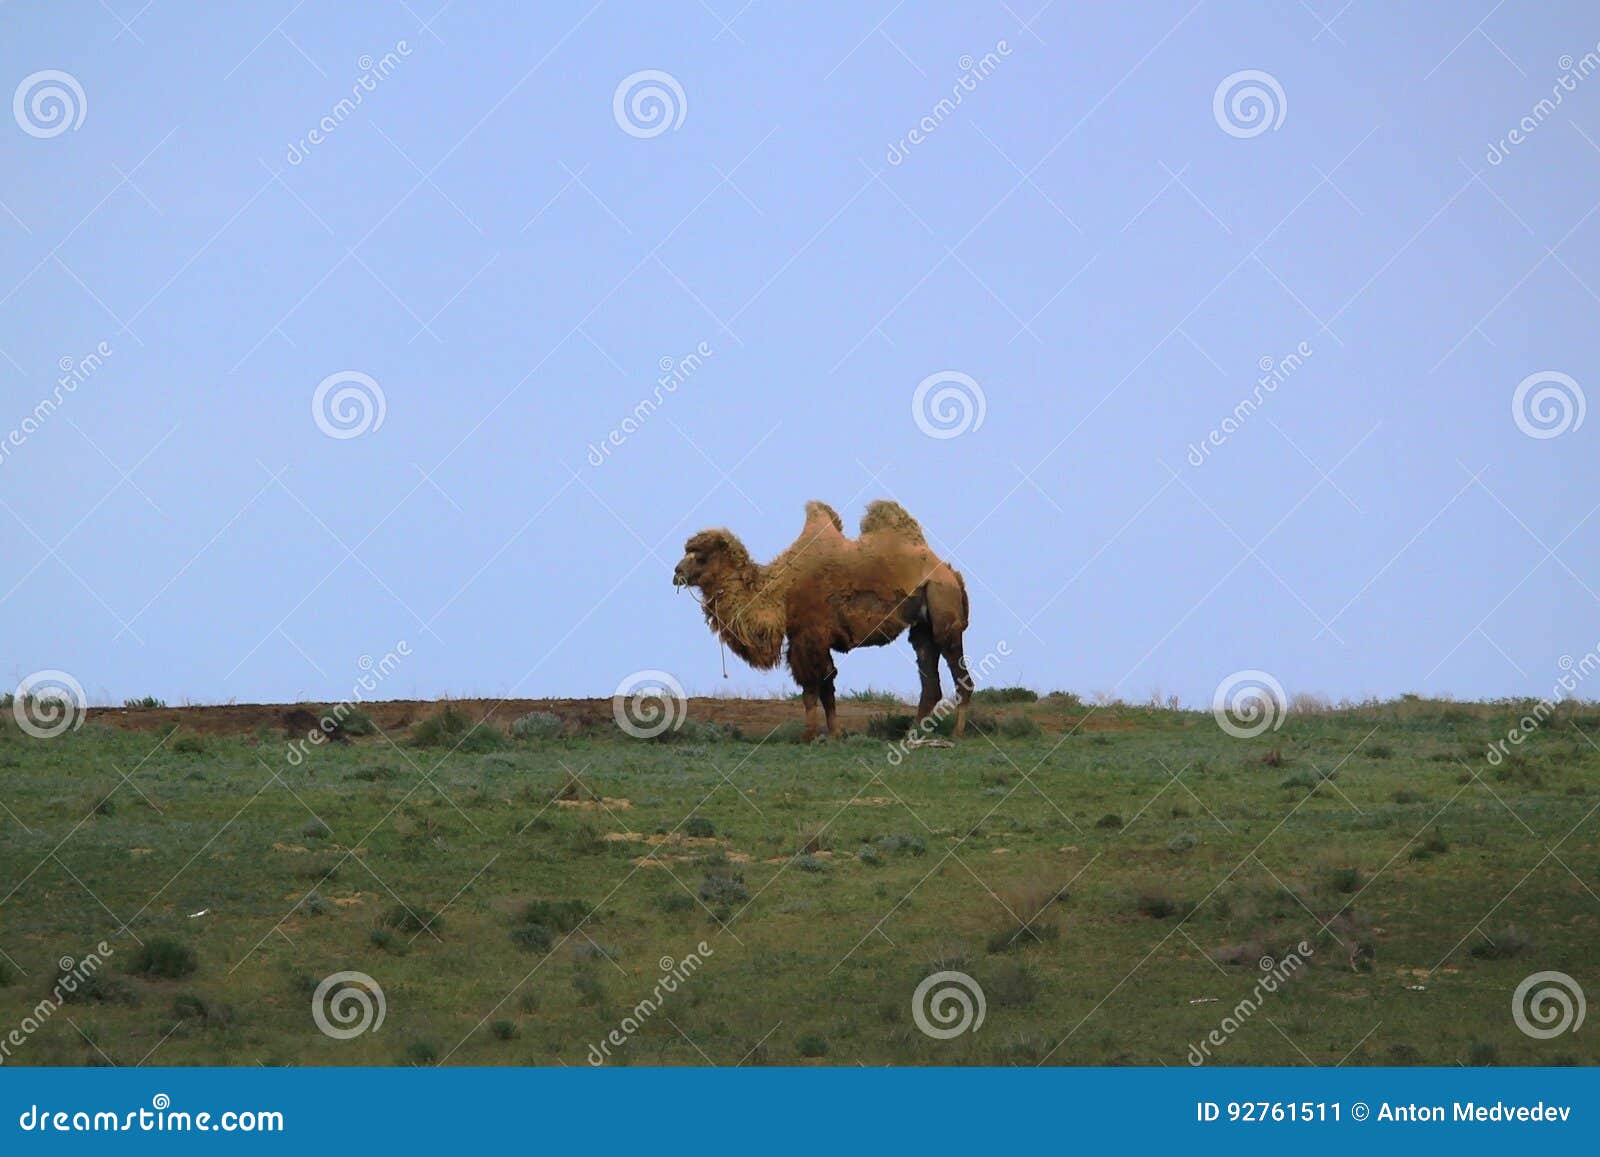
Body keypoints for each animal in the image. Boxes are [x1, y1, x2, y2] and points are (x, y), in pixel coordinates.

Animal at [672, 500, 972, 741]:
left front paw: (809, 736)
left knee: (960, 675)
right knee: (930, 682)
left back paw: (956, 733)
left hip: (944, 611)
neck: (779, 593)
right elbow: (827, 687)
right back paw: (912, 733)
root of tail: (950, 573)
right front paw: (835, 734)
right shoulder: (813, 640)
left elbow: (811, 688)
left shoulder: (809, 636)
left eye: (700, 557)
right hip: (922, 627)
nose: (676, 573)